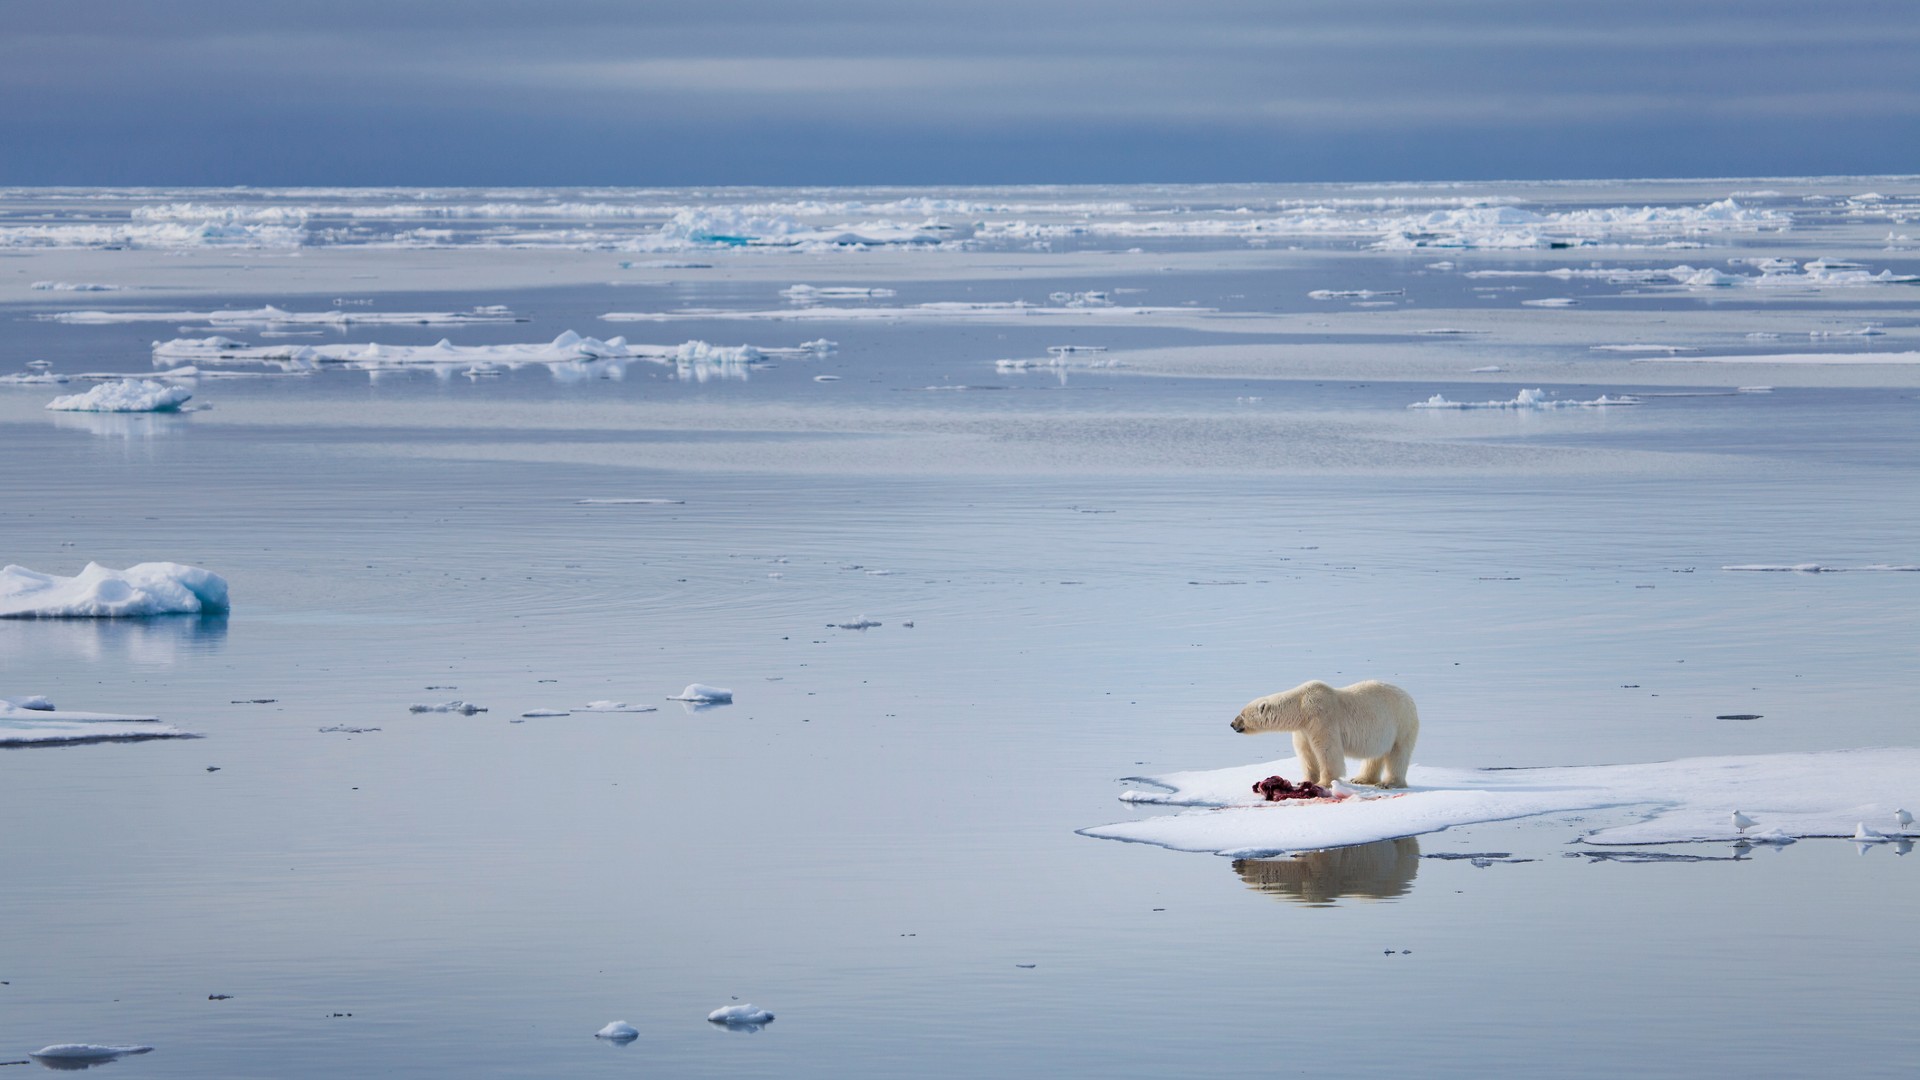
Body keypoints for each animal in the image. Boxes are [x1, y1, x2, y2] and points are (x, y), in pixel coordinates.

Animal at [1221, 676, 1420, 787]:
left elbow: (1327, 750)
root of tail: (1411, 699)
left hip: (1402, 723)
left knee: (1397, 754)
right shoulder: (1302, 728)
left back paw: (1389, 783)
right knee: (1375, 755)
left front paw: (1325, 783)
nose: (1231, 723)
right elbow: (1306, 752)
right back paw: (1361, 779)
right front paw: (1305, 780)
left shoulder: (1321, 717)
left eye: (1242, 714)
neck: (1300, 705)